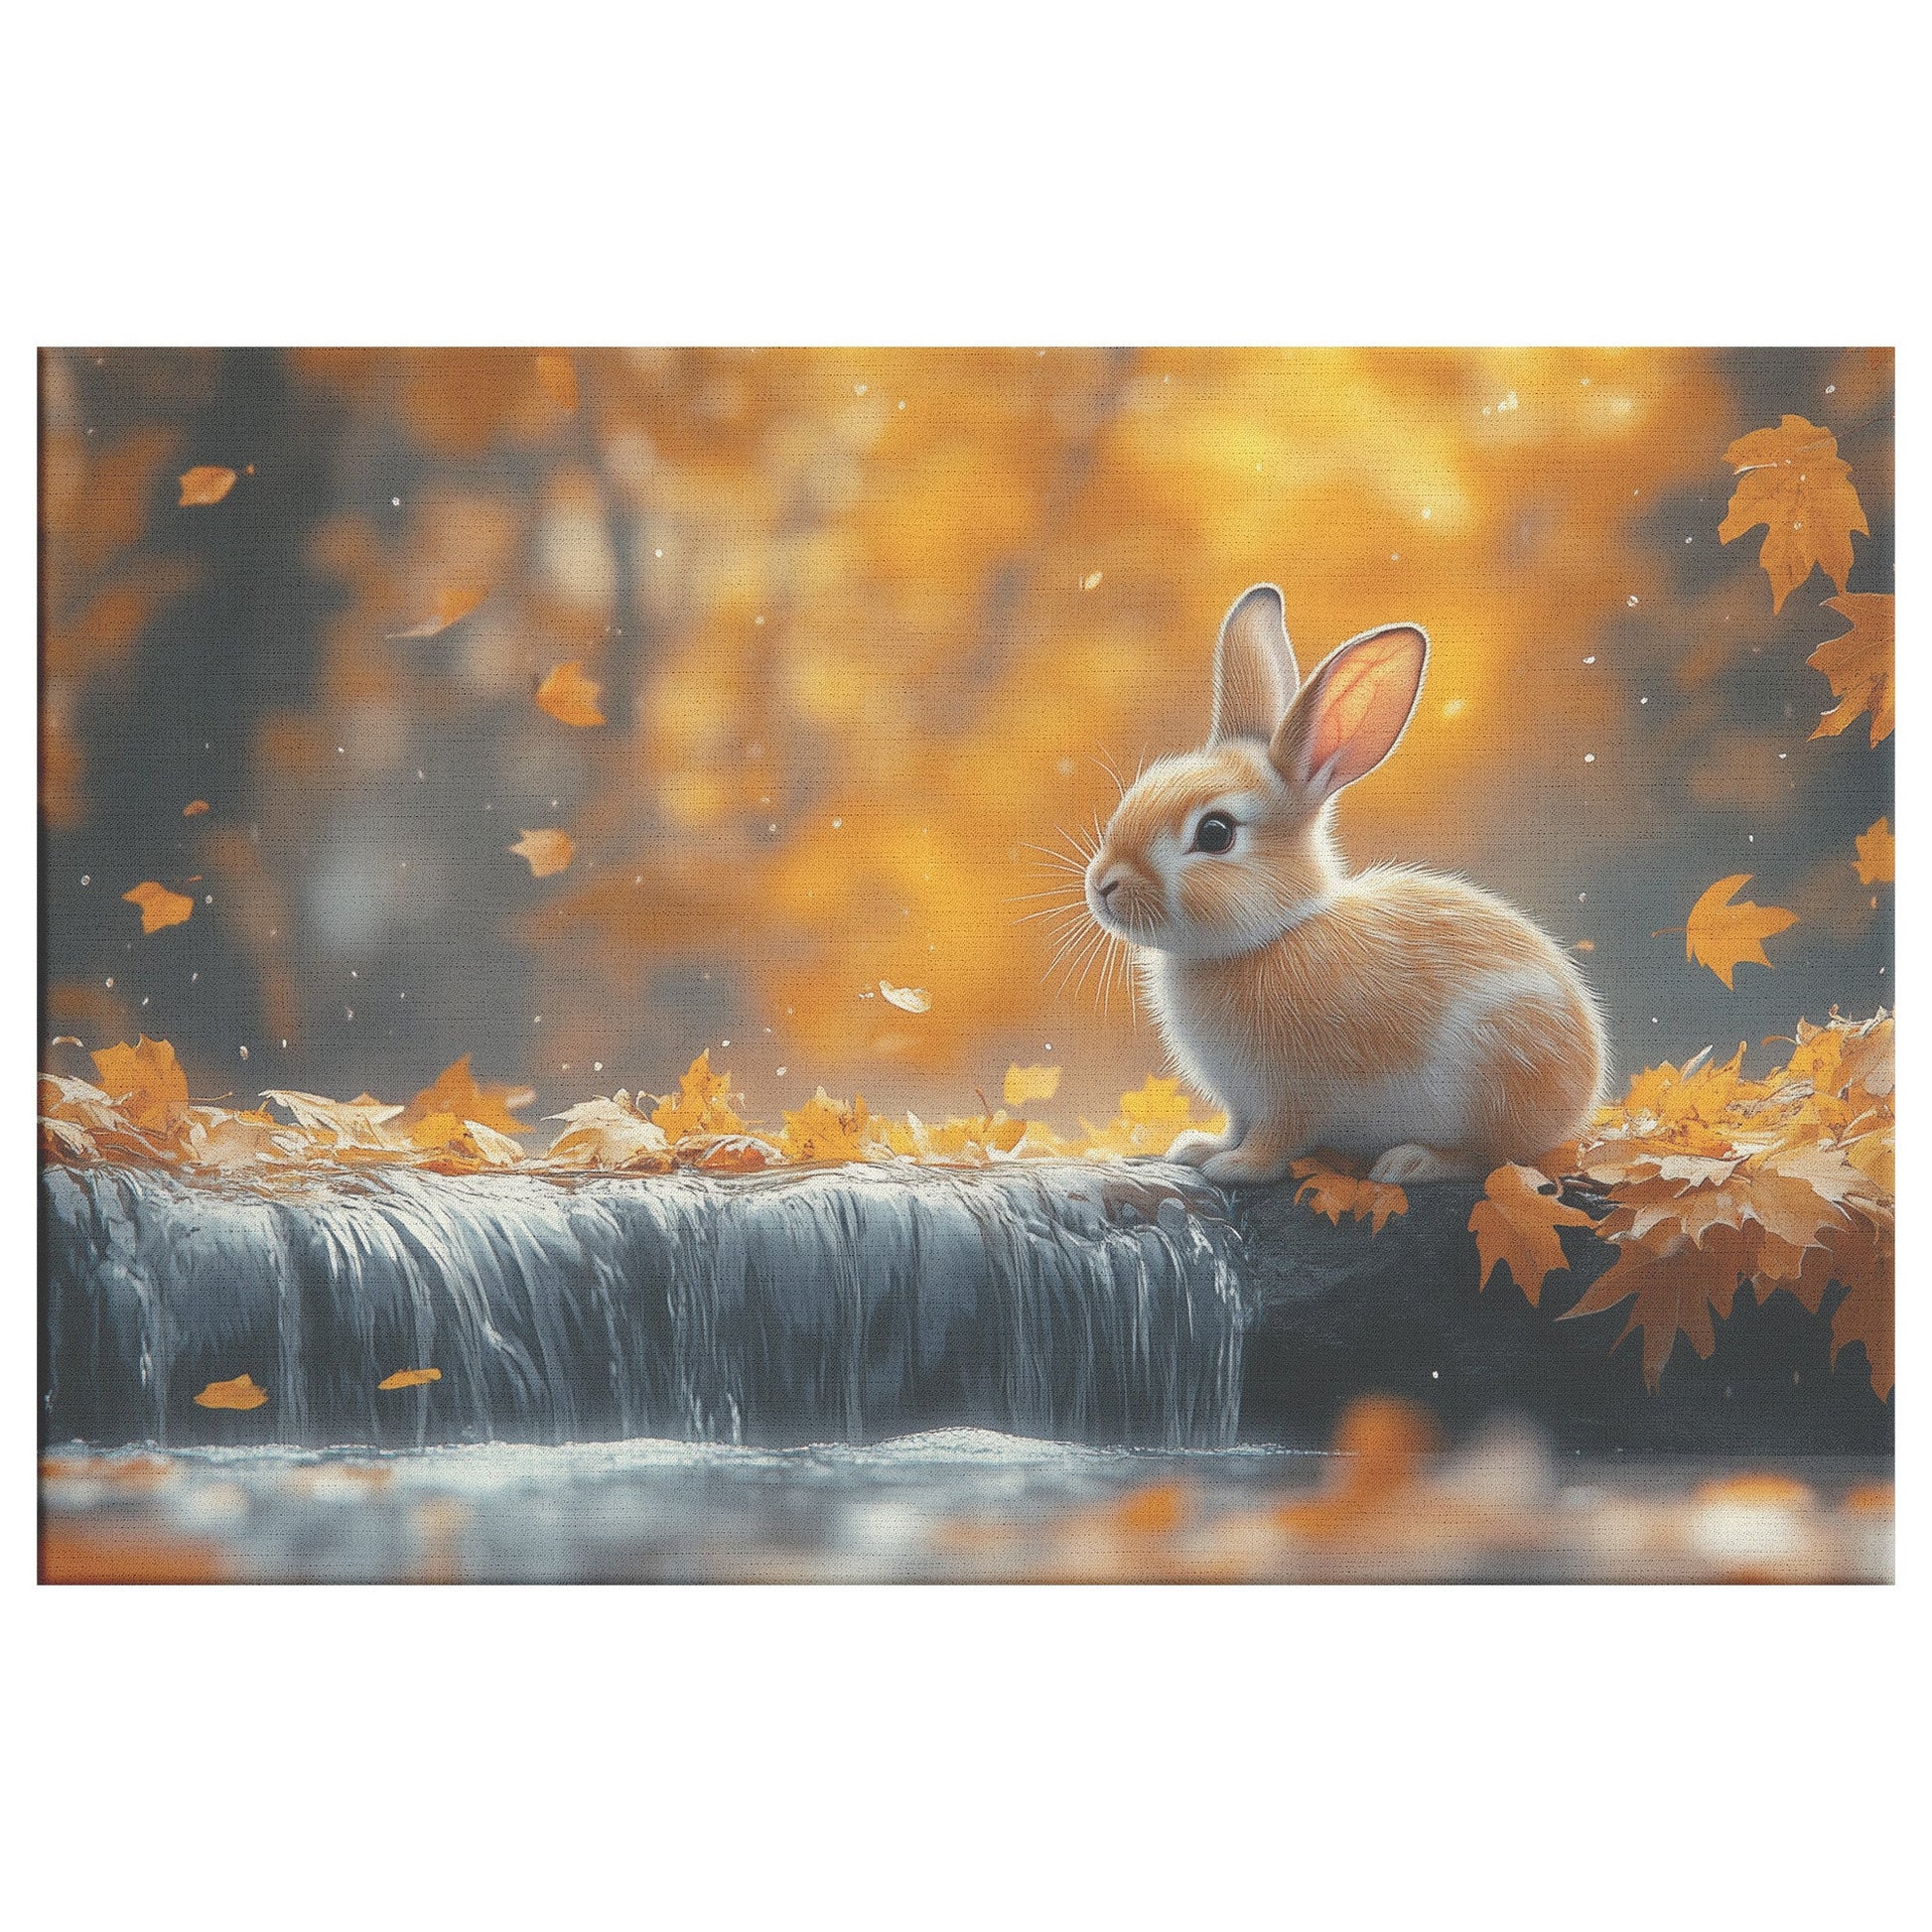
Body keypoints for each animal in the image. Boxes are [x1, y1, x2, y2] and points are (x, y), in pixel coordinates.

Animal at [1083, 583, 1605, 1187]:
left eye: (1215, 833)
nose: (1103, 885)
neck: (1272, 935)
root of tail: (1586, 1087)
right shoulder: (1243, 1100)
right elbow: (1238, 1124)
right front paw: (1198, 1148)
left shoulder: (1293, 1093)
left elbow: (1276, 1138)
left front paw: (1235, 1167)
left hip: (1495, 1073)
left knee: (1495, 1155)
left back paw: (1411, 1162)